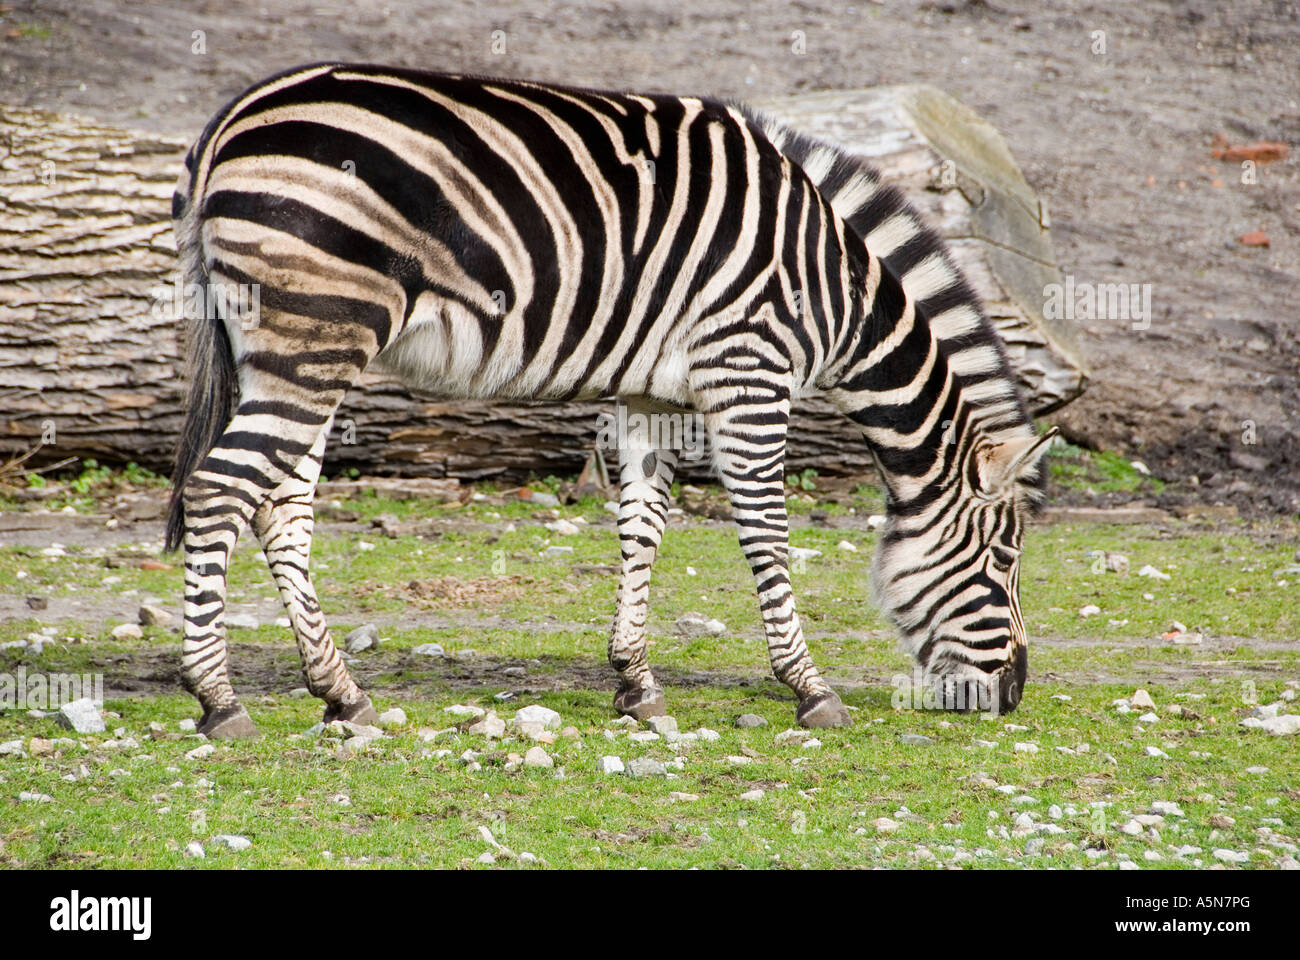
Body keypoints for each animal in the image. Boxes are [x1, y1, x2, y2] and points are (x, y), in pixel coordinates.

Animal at [165, 62, 1056, 738]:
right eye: (1005, 561)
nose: (1013, 696)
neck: (830, 285)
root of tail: (227, 122)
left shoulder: (648, 392)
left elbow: (643, 528)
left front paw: (636, 683)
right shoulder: (748, 370)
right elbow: (766, 533)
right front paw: (810, 689)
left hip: (291, 353)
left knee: (279, 506)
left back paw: (341, 692)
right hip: (317, 334)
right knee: (219, 491)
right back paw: (219, 700)